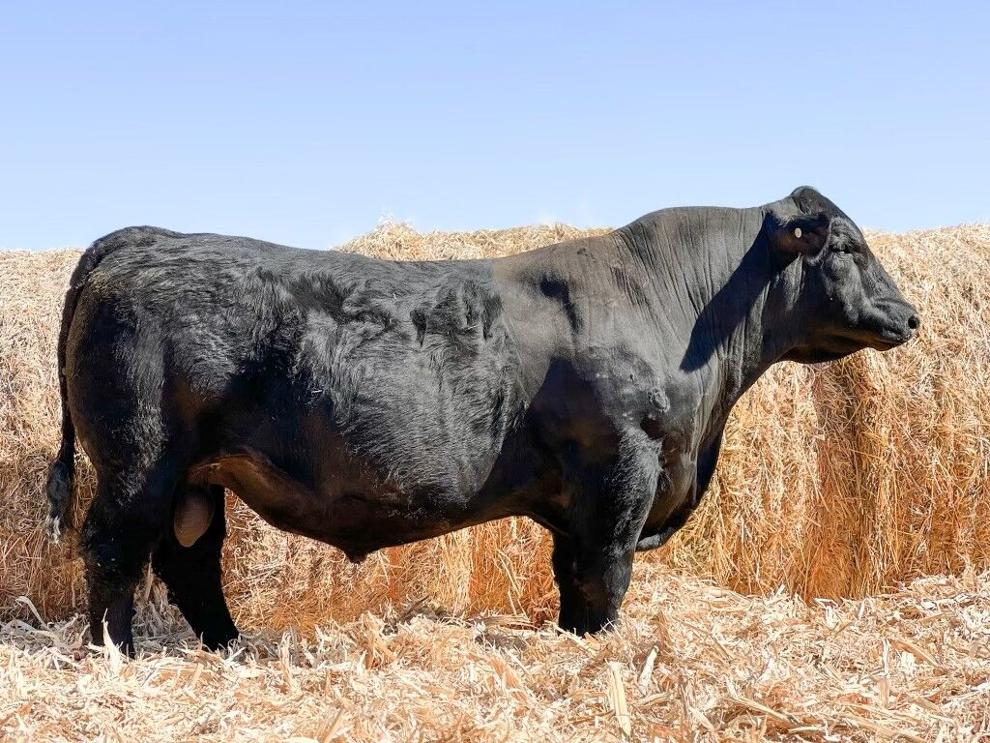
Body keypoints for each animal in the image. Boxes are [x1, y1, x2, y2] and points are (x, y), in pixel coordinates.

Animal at [45, 187, 919, 653]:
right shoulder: (623, 469)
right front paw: (600, 649)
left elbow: (573, 577)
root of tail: (145, 239)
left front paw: (572, 643)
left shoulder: (582, 498)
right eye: (847, 245)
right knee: (113, 551)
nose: (910, 314)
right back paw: (116, 652)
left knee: (190, 561)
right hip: (139, 460)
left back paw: (230, 648)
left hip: (196, 476)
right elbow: (606, 574)